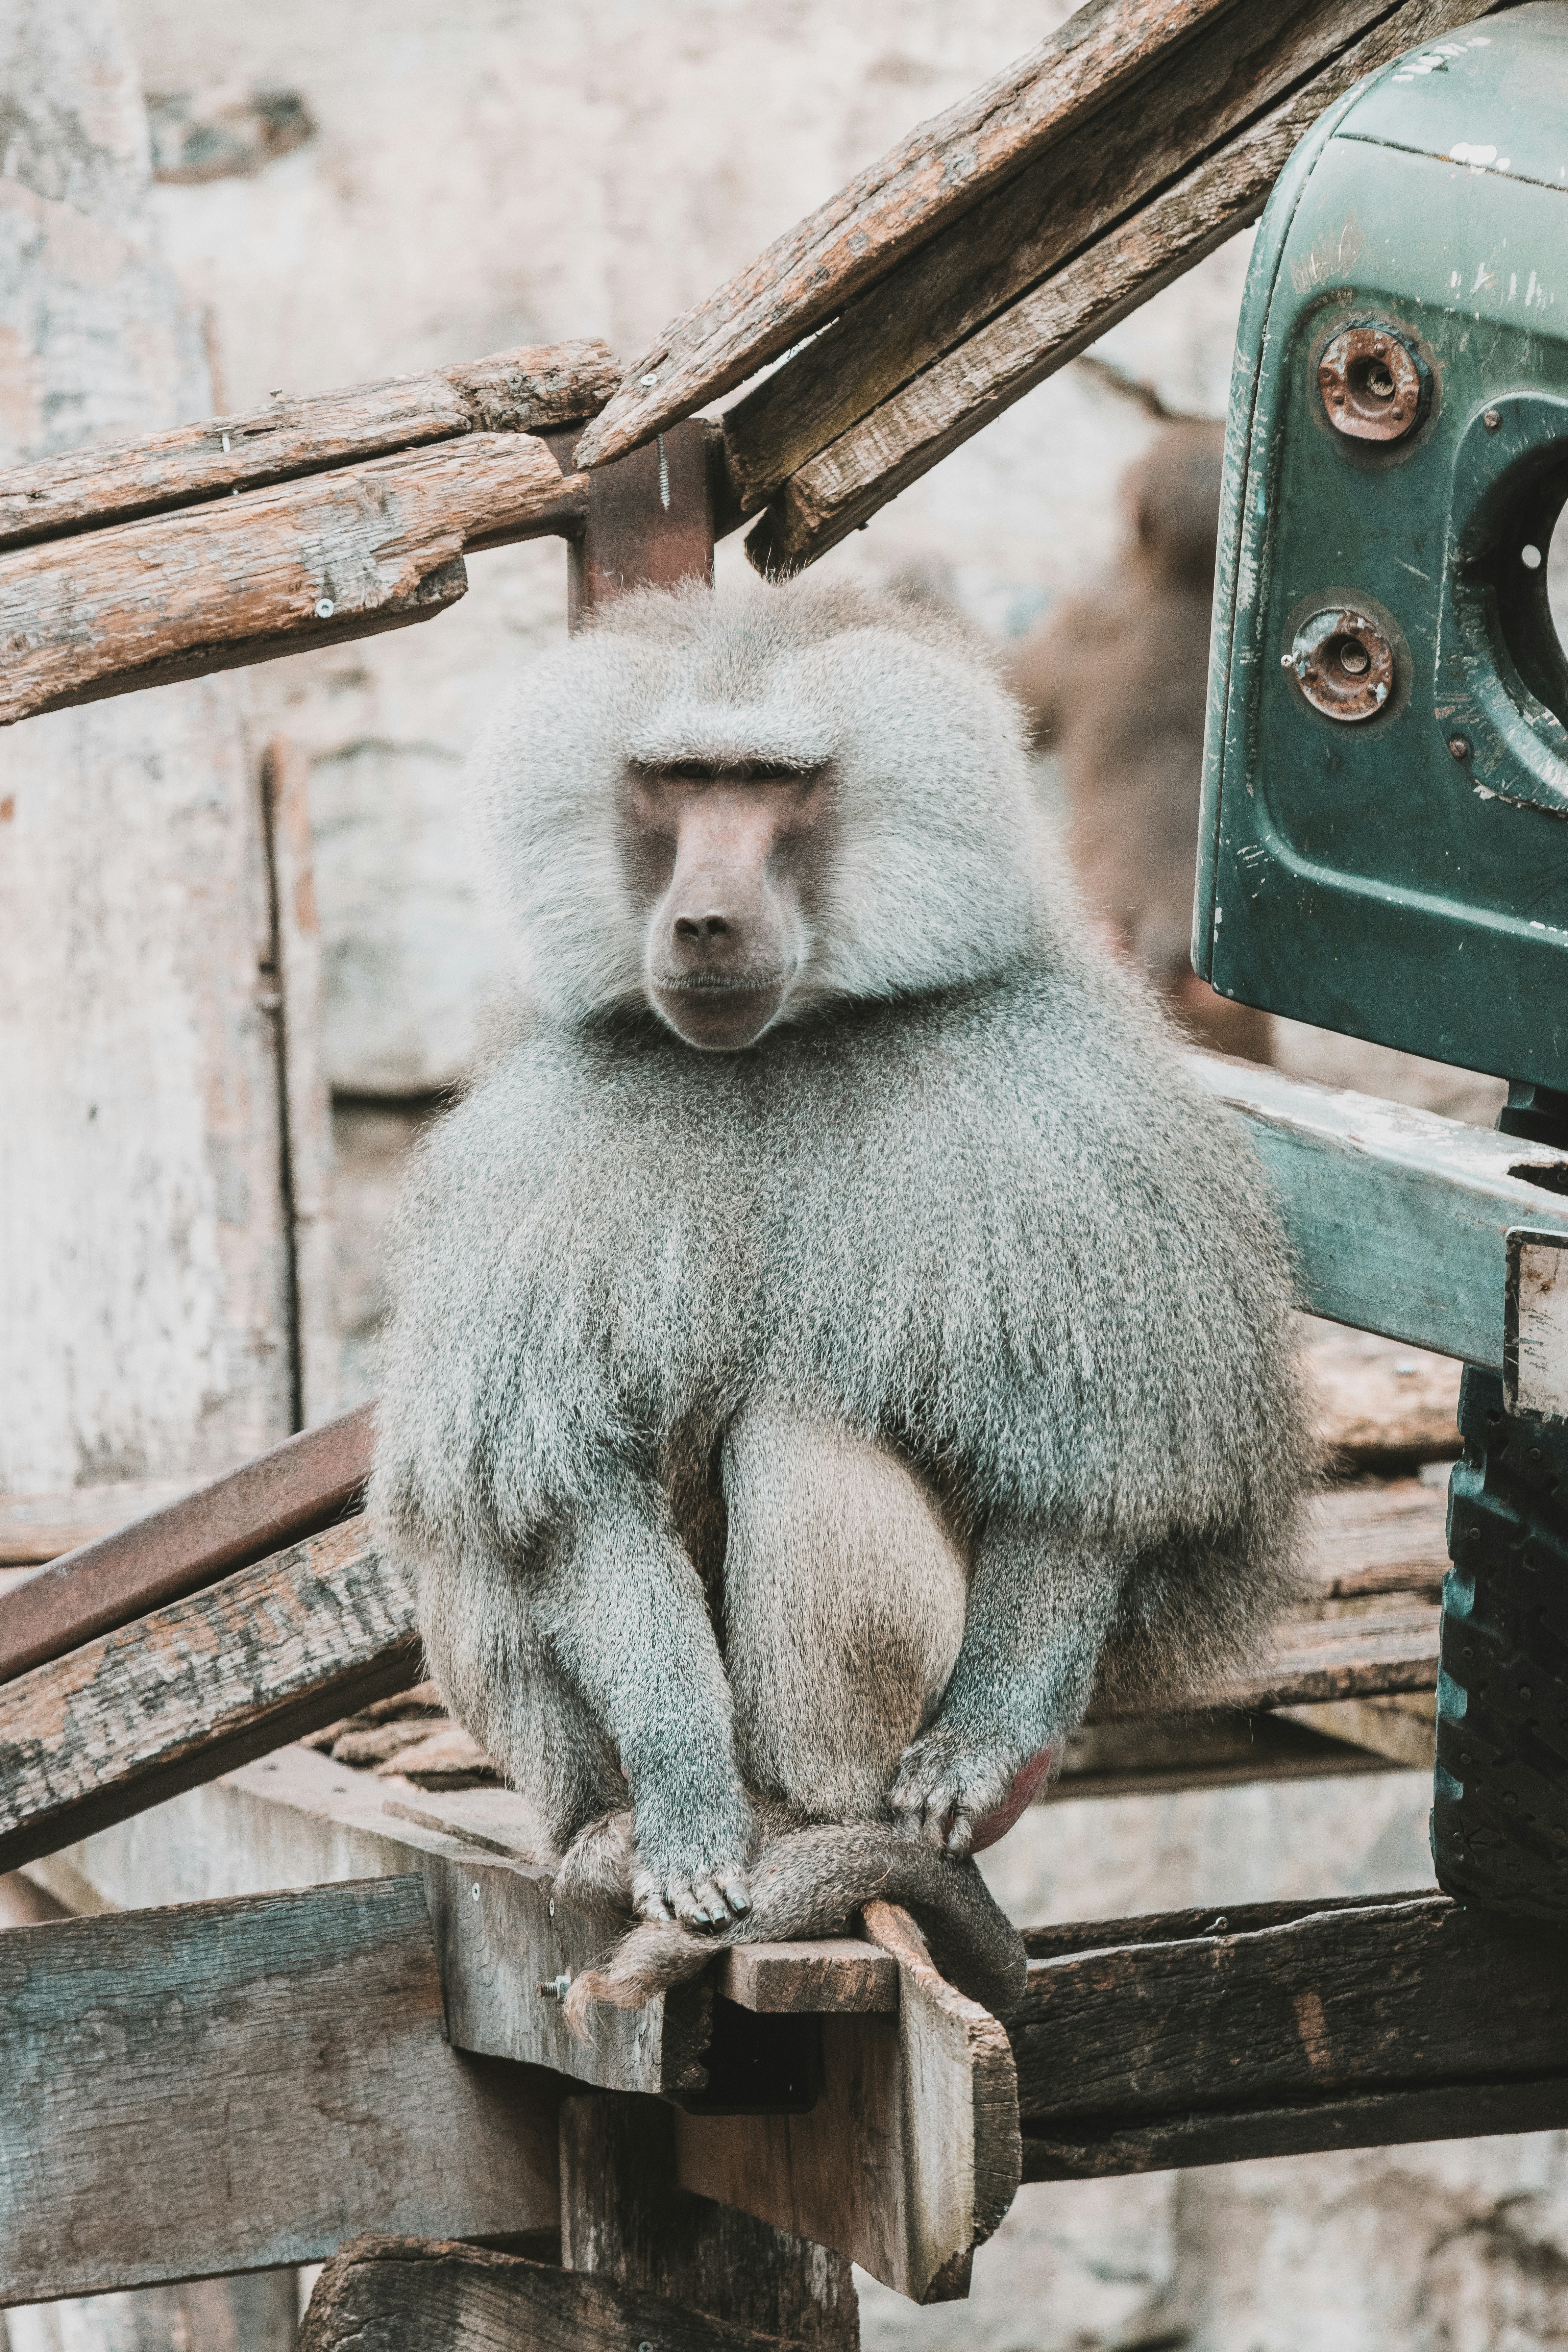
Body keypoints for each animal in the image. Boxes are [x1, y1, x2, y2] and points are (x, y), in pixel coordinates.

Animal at [369, 575, 1312, 2015]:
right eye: (679, 781)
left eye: (771, 785)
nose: (702, 921)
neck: (779, 1046)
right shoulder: (551, 1139)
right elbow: (563, 1482)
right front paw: (683, 1813)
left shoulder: (1056, 1105)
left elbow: (1106, 1472)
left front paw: (979, 1743)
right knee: (480, 1518)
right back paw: (620, 1831)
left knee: (797, 1433)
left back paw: (826, 1826)